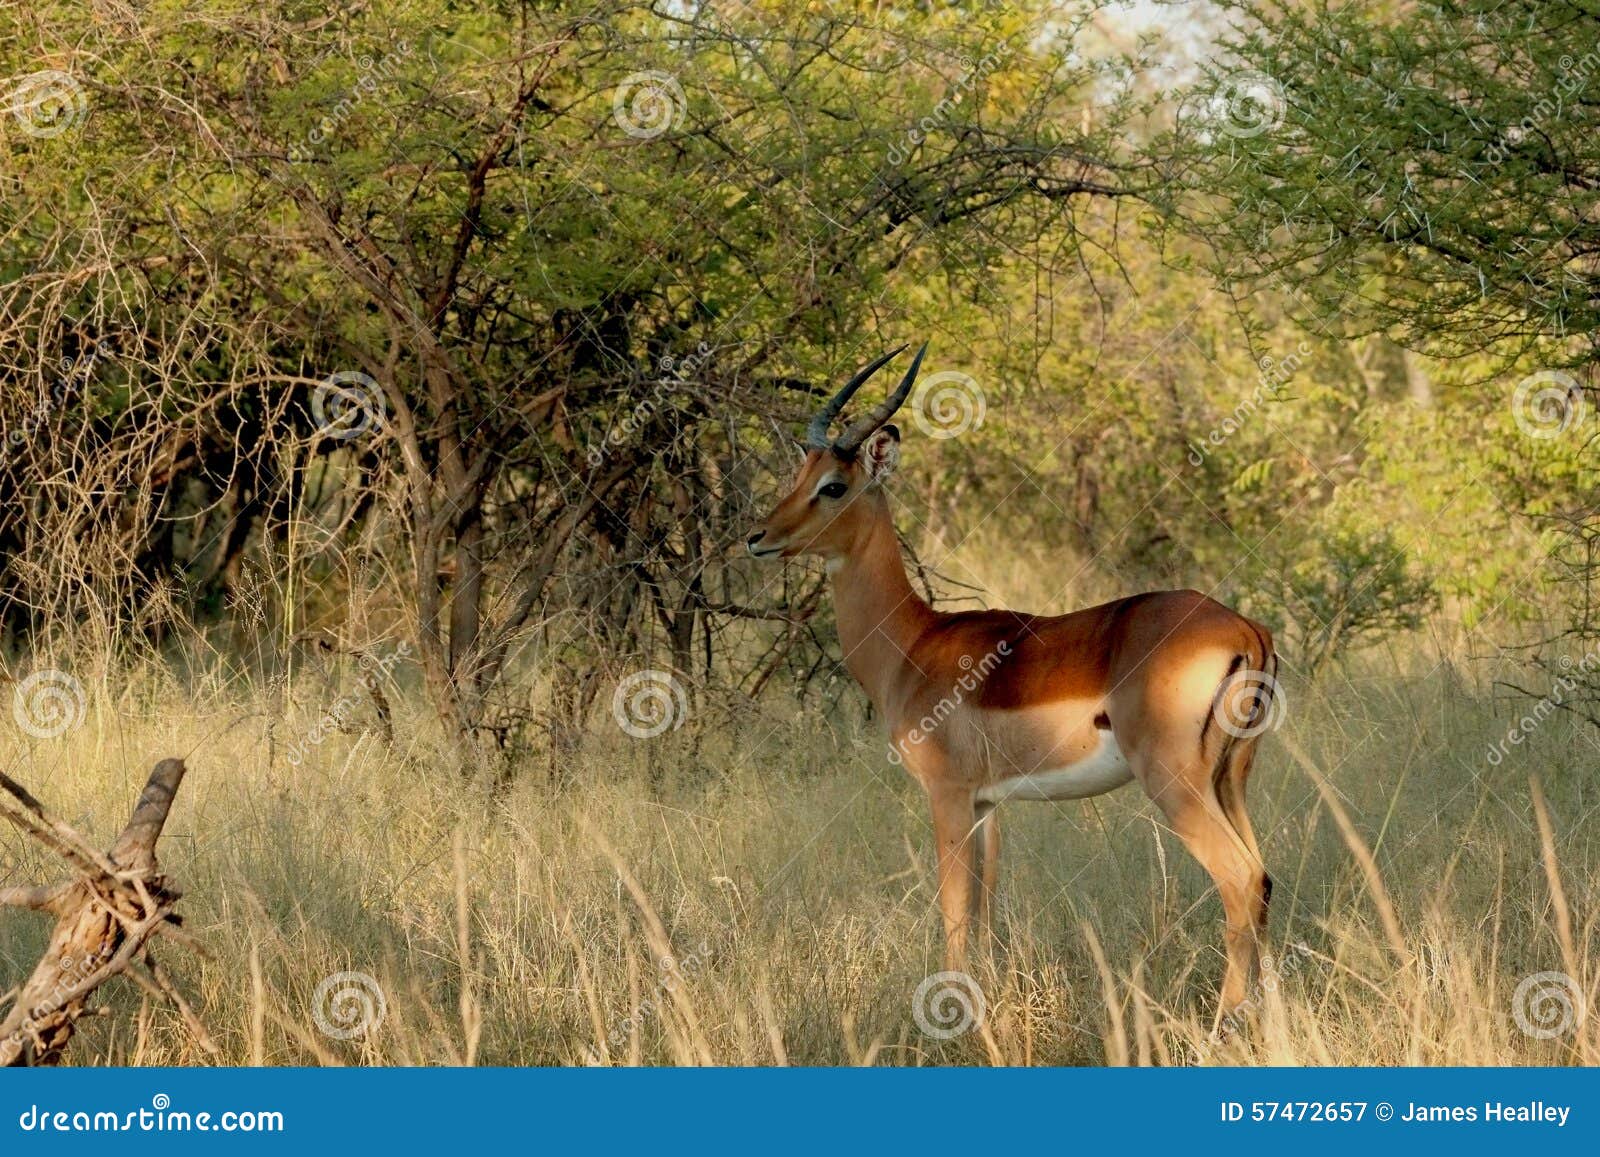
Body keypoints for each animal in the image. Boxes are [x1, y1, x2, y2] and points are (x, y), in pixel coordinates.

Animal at [746, 344, 1279, 1011]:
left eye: (834, 486)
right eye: (798, 477)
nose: (757, 537)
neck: (913, 642)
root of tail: (1245, 629)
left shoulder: (947, 794)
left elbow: (954, 912)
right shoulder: (987, 804)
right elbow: (984, 910)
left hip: (1174, 783)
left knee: (1240, 879)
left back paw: (1223, 1017)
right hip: (1230, 781)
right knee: (1263, 880)